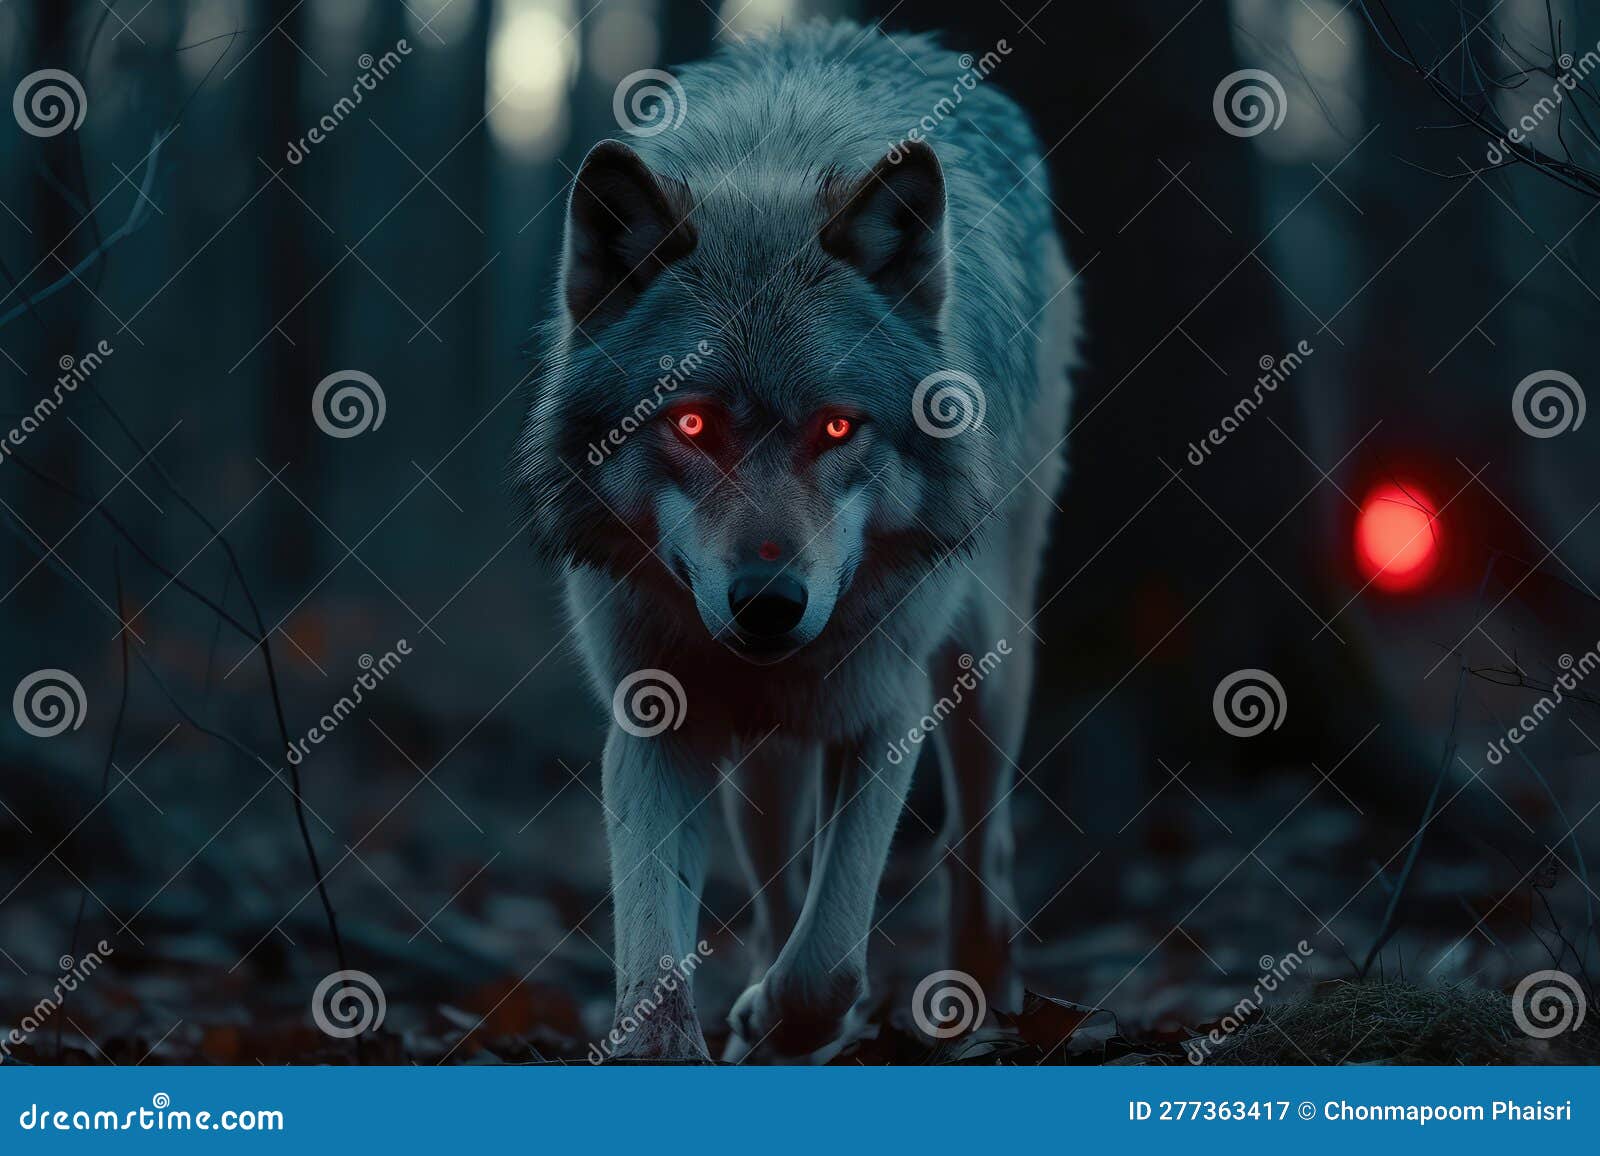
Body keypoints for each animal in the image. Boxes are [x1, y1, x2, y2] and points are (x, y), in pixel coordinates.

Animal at [515, 20, 1078, 1060]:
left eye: (839, 428)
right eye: (692, 424)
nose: (770, 604)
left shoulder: (886, 708)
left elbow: (831, 962)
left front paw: (796, 1020)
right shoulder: (655, 720)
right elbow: (656, 959)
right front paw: (699, 1037)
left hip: (985, 664)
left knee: (980, 843)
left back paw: (987, 1000)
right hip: (762, 763)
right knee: (781, 887)